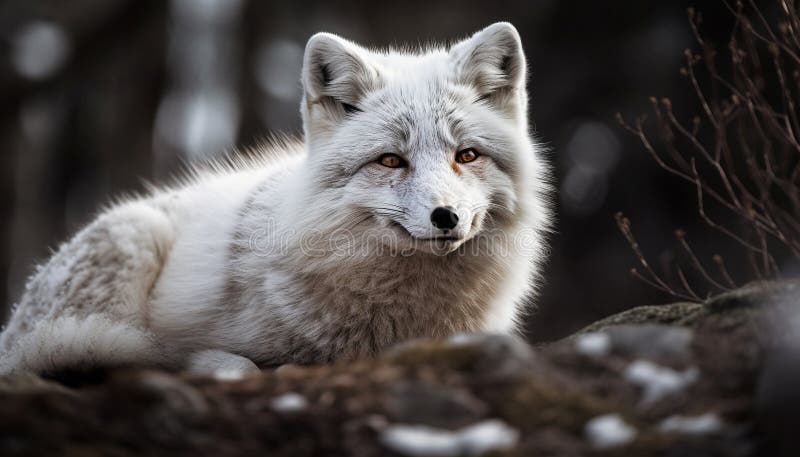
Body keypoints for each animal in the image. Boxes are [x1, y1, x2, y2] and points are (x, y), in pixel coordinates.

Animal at [0, 22, 551, 376]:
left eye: (466, 155)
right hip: (136, 233)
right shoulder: (200, 342)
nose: (445, 216)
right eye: (392, 160)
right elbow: (225, 364)